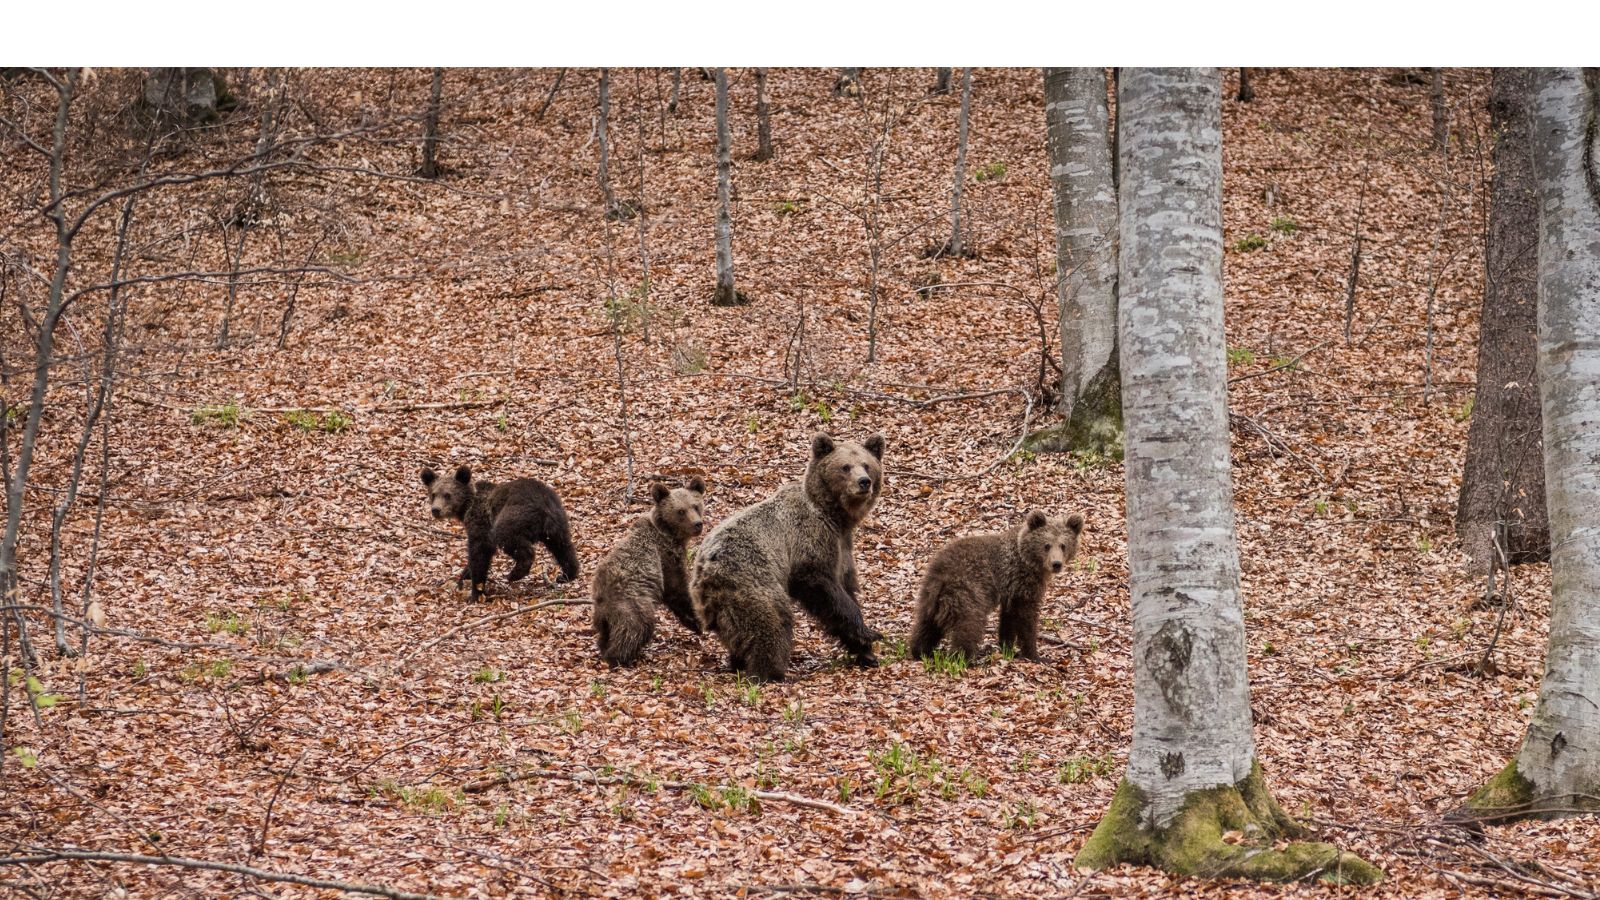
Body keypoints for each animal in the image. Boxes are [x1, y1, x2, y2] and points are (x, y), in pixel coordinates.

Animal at [420, 465, 580, 602]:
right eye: (433, 494)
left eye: (447, 495)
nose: (436, 510)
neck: (466, 508)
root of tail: (543, 501)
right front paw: (463, 579)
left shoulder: (481, 524)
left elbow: (479, 554)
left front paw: (476, 592)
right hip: (557, 522)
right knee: (563, 547)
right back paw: (566, 574)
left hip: (514, 515)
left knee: (511, 540)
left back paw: (514, 574)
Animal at [591, 477, 707, 668]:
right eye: (681, 511)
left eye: (696, 506)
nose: (697, 524)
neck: (670, 534)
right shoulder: (665, 558)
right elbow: (677, 588)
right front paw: (695, 621)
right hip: (632, 603)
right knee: (637, 628)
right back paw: (619, 658)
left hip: (605, 617)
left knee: (605, 634)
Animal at [691, 432, 885, 681]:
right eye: (845, 467)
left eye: (867, 464)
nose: (864, 481)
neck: (835, 516)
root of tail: (703, 572)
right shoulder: (810, 541)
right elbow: (822, 587)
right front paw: (869, 634)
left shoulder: (843, 547)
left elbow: (846, 588)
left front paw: (865, 651)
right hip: (749, 580)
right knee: (772, 621)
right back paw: (771, 671)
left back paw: (738, 662)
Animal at [908, 509, 1085, 663]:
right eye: (1047, 545)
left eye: (1063, 545)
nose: (1056, 564)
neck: (1028, 560)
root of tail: (941, 573)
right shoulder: (1023, 583)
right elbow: (1026, 618)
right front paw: (1036, 655)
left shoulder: (1011, 590)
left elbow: (1008, 618)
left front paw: (1007, 647)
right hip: (968, 591)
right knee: (968, 625)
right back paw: (963, 659)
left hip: (930, 596)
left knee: (926, 624)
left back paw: (920, 651)